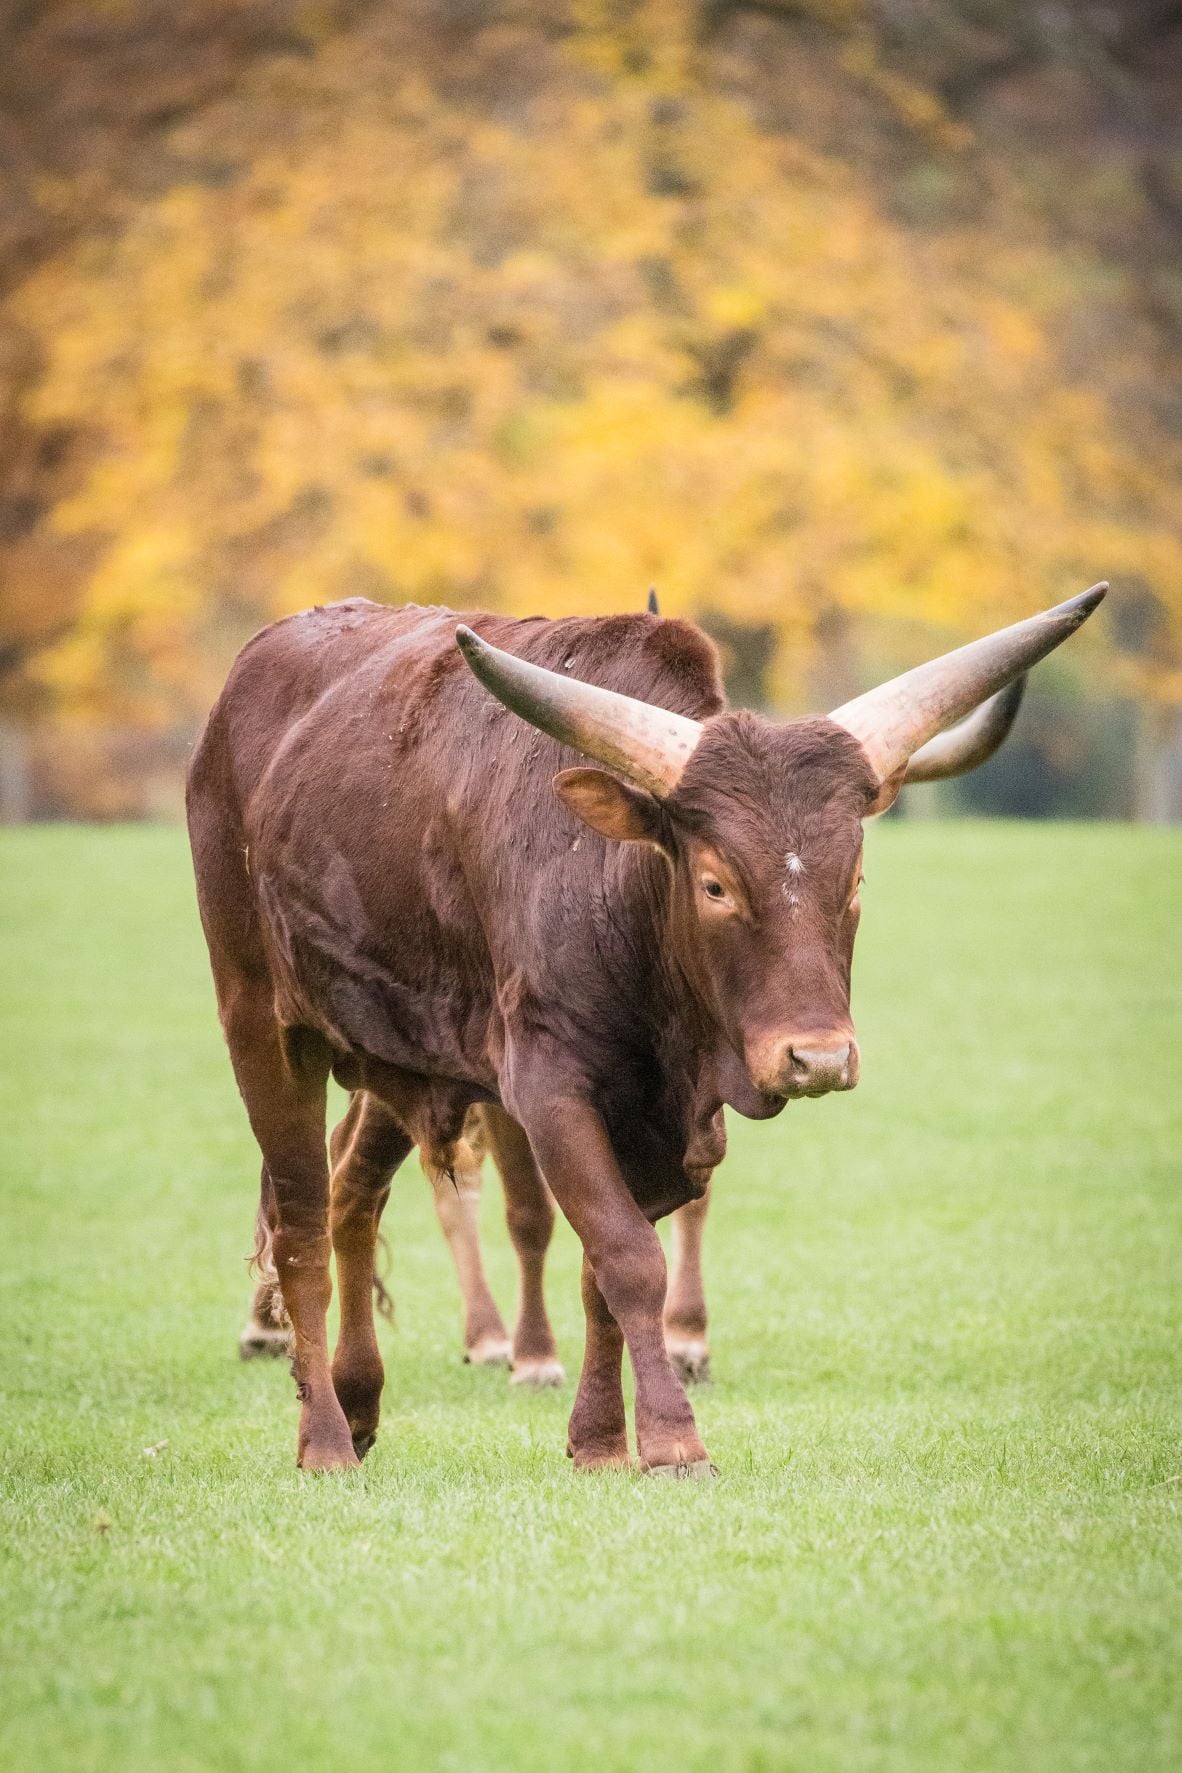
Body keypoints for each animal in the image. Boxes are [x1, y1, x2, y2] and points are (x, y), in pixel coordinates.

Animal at [187, 583, 1105, 1473]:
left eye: (855, 878)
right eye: (715, 882)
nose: (818, 1057)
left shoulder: (667, 1122)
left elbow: (603, 1271)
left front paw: (597, 1441)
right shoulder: (549, 1089)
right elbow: (626, 1255)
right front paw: (672, 1439)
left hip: (401, 1049)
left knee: (352, 1189)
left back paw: (359, 1398)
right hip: (261, 1023)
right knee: (303, 1224)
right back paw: (324, 1439)